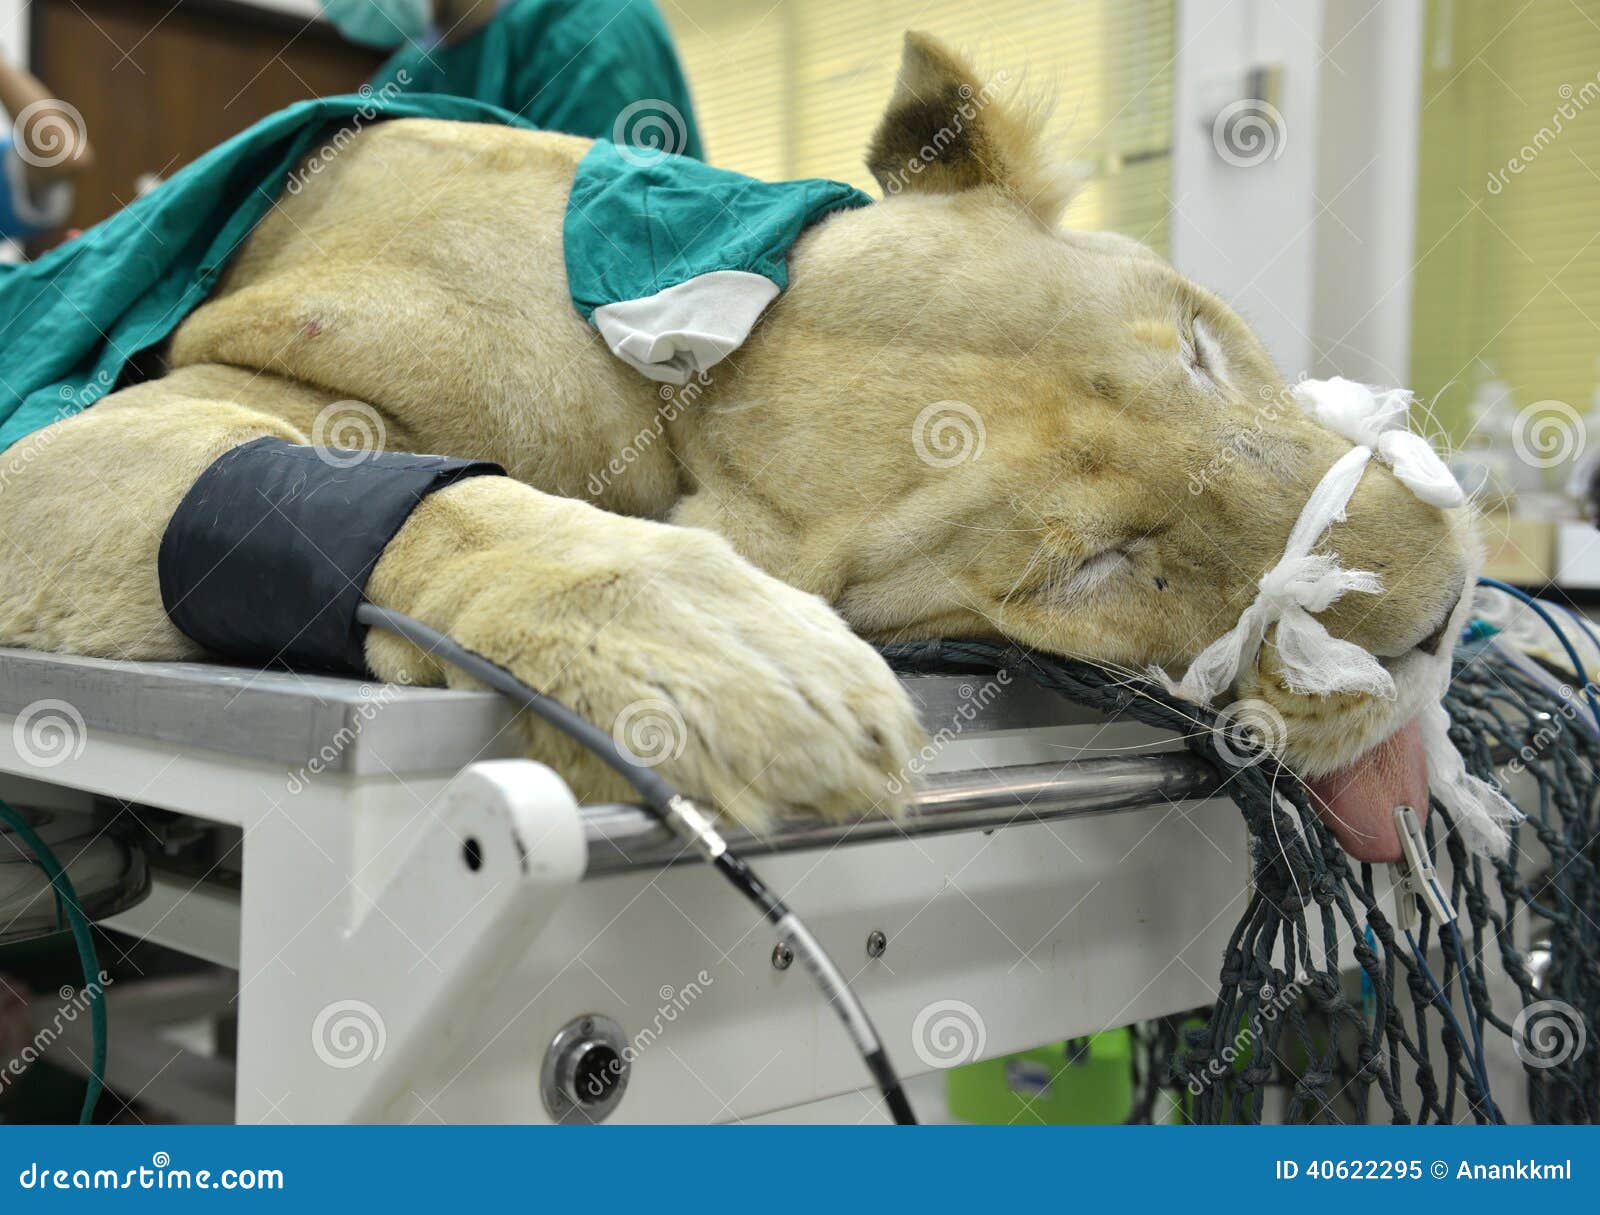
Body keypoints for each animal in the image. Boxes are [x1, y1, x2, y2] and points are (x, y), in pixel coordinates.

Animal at [0, 33, 1473, 856]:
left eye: (1198, 346)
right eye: (1097, 570)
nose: (1449, 608)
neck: (681, 357)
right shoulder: (81, 437)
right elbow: (443, 503)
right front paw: (716, 654)